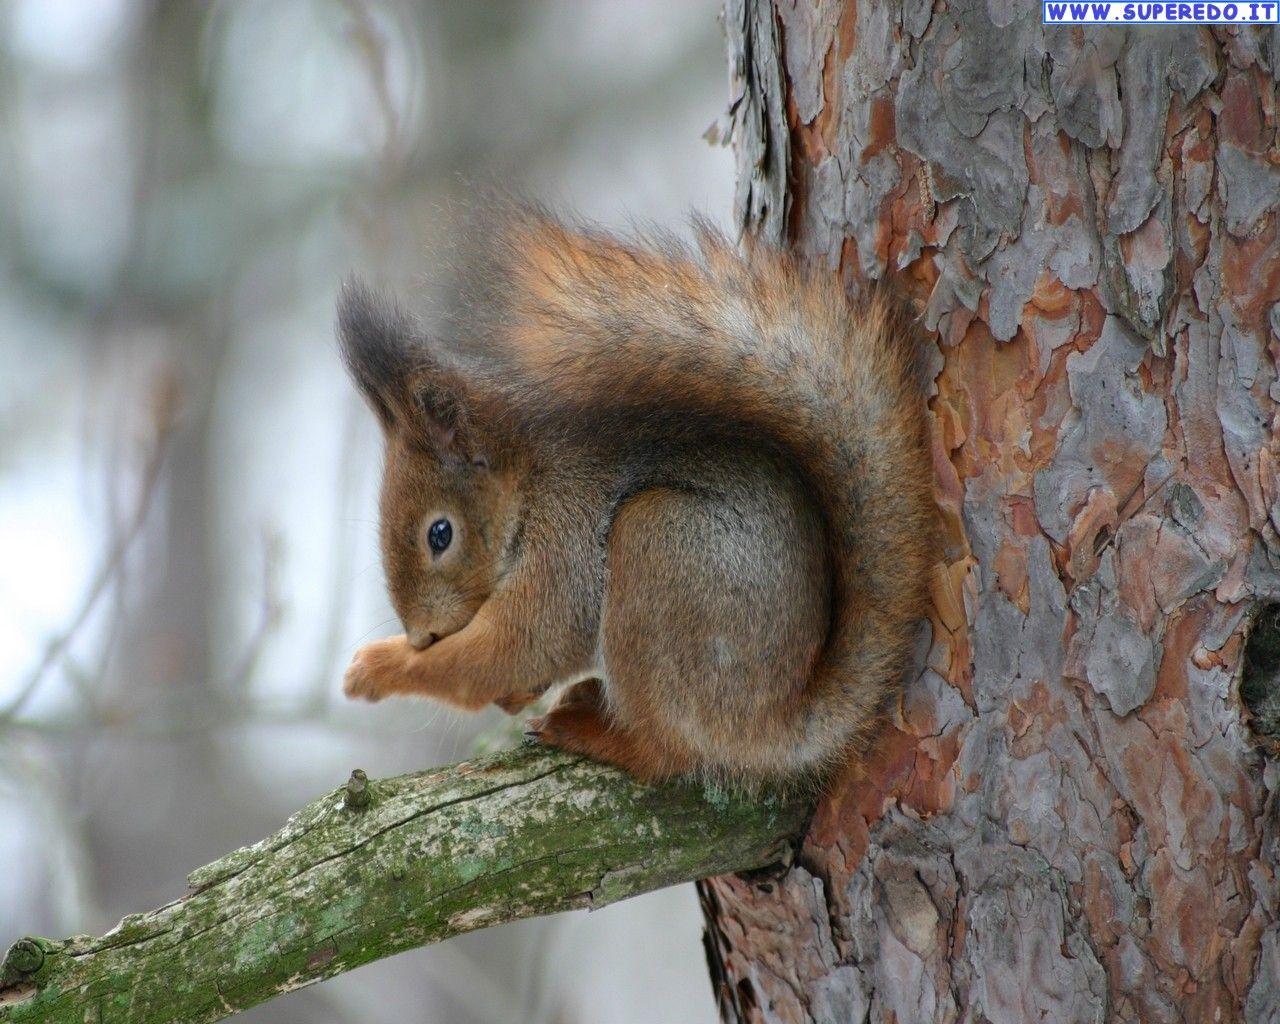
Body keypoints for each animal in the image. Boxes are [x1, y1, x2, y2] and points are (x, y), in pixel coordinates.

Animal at [338, 203, 934, 786]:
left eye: (440, 534)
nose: (422, 634)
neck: (529, 489)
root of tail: (775, 722)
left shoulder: (565, 546)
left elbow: (508, 652)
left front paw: (376, 668)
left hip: (659, 553)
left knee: (665, 753)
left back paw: (588, 730)